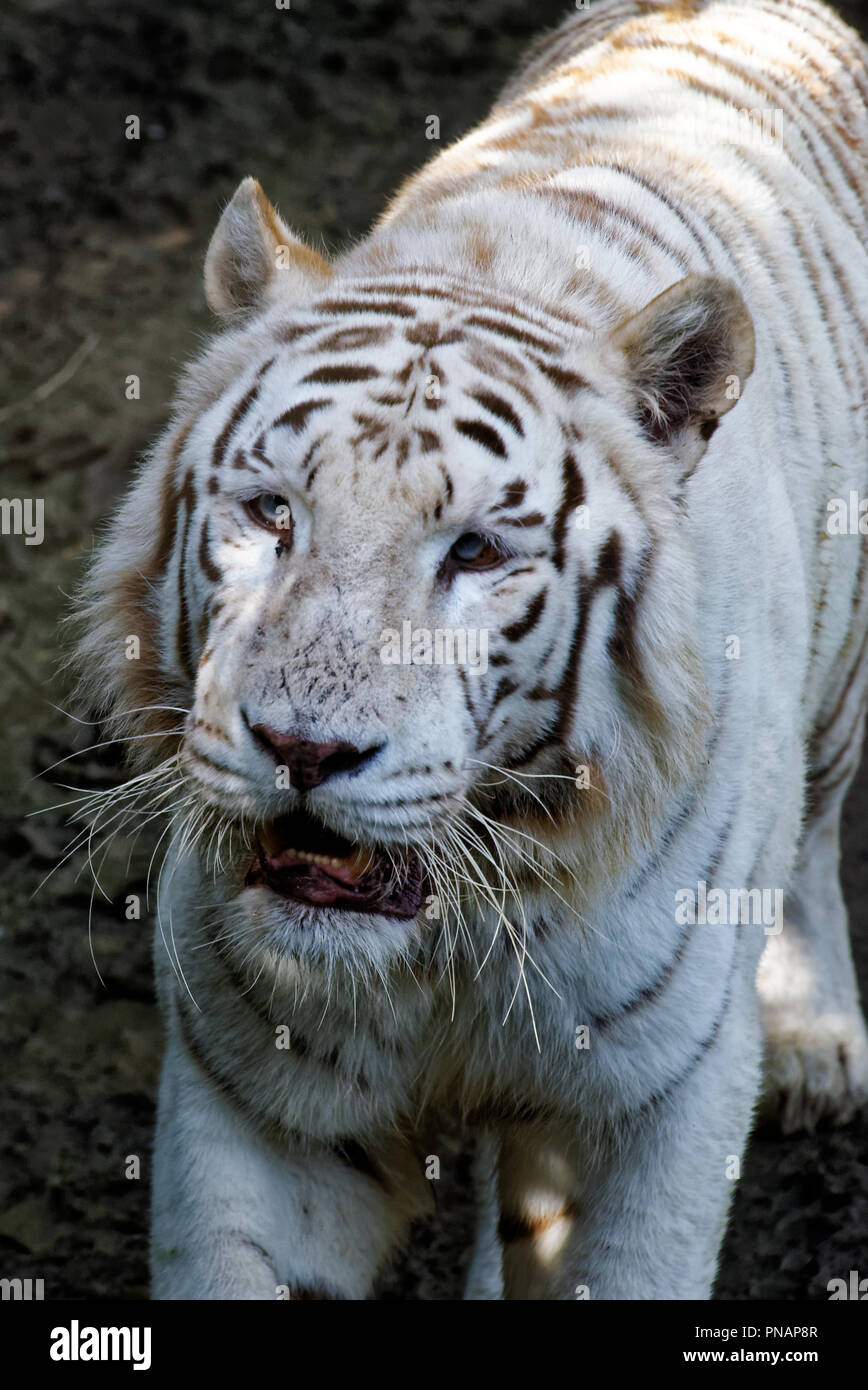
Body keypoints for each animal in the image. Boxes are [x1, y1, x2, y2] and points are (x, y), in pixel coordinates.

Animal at [74, 0, 868, 1300]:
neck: (444, 940)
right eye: (274, 513)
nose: (301, 749)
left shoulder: (654, 1102)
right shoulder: (259, 1100)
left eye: (478, 551)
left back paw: (815, 1039)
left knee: (809, 835)